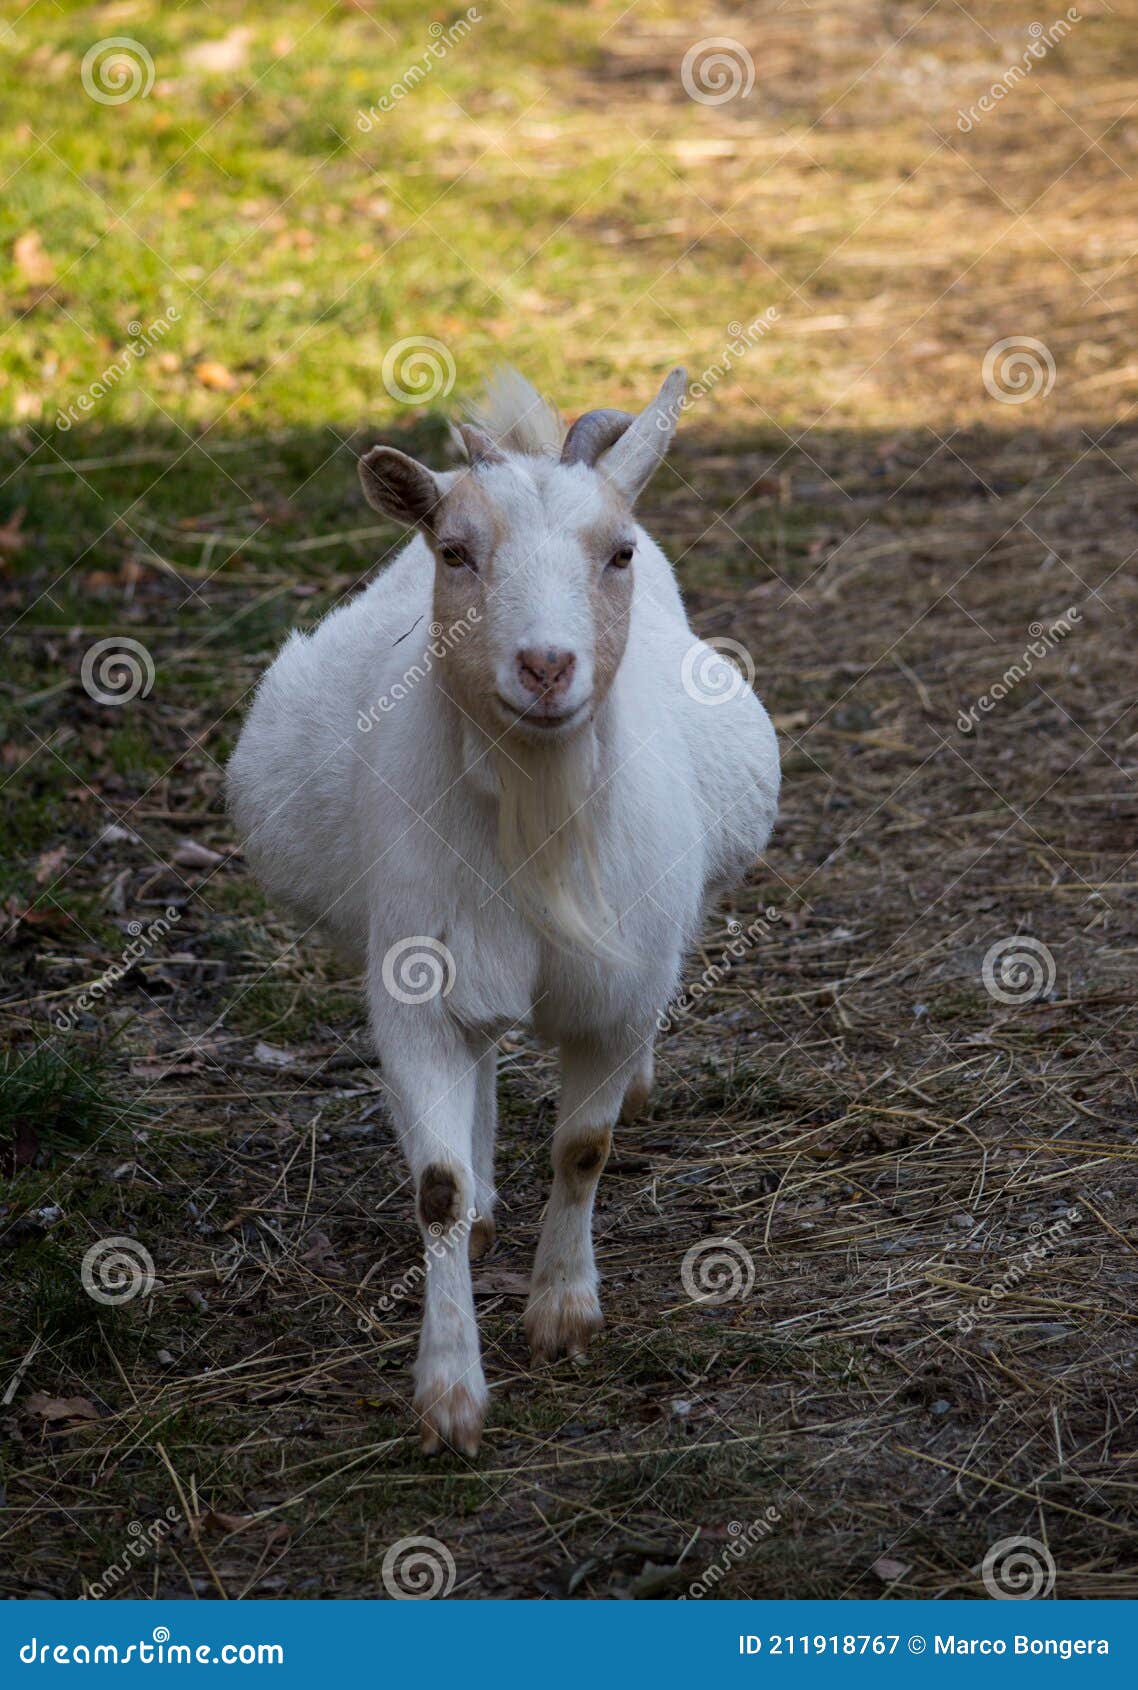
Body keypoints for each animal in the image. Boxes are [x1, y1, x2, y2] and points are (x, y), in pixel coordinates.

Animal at [227, 366, 780, 1455]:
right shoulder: (416, 980)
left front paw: (563, 1313)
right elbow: (434, 1183)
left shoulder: (620, 990)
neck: (537, 813)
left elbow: (583, 1147)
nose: (546, 667)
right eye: (455, 551)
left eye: (617, 553)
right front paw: (450, 1393)